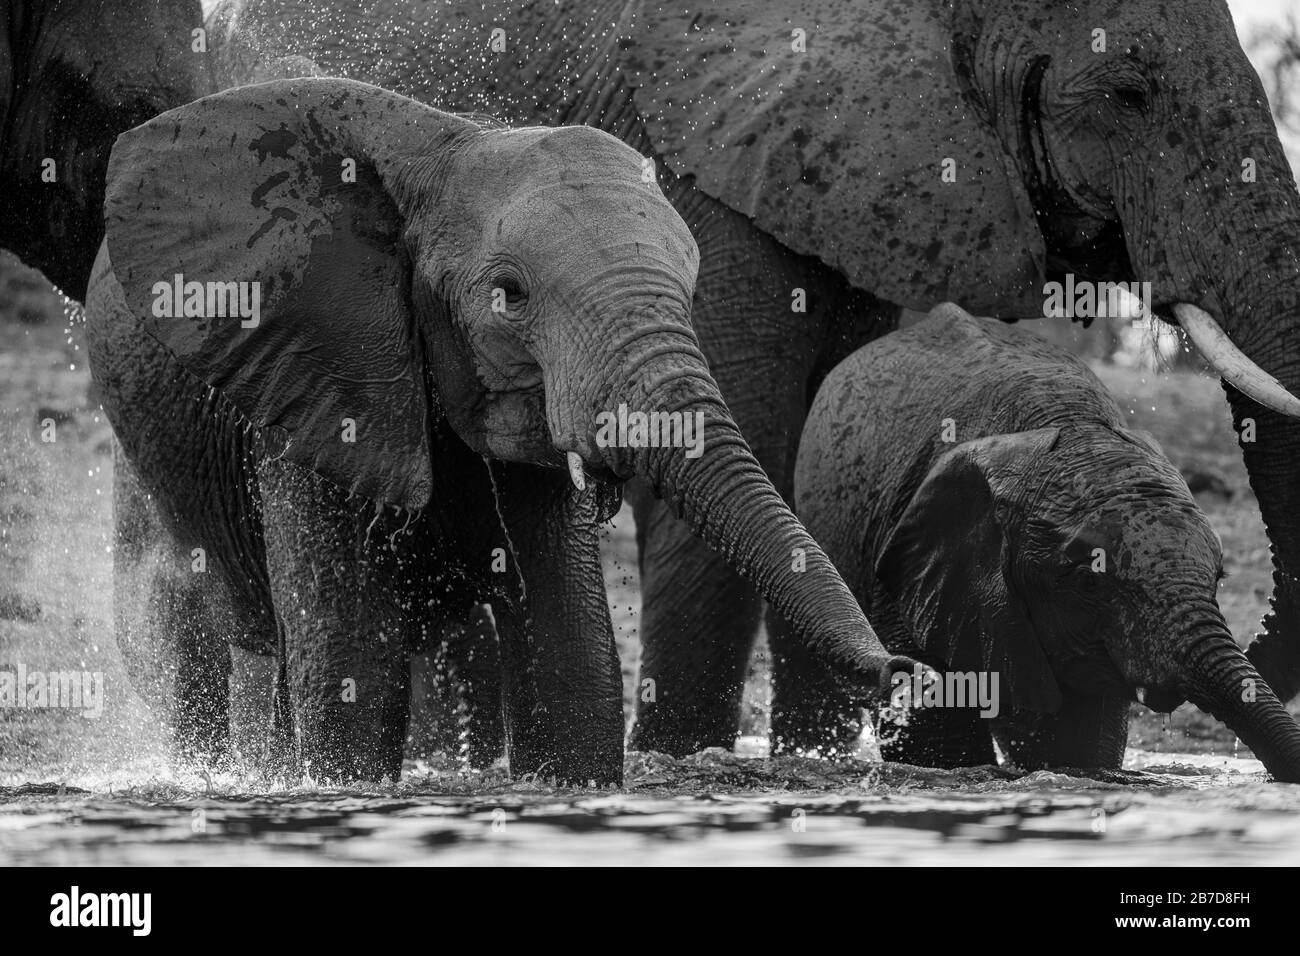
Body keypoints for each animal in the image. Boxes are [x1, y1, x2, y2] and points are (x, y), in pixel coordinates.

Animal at [84, 76, 915, 784]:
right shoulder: (312, 372)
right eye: (508, 295)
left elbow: (573, 656)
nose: (905, 674)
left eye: (691, 285)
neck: (456, 148)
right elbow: (350, 663)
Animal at [786, 304, 1300, 782]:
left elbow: (1076, 745)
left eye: (1218, 579)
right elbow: (937, 738)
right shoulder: (913, 575)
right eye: (1089, 581)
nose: (900, 675)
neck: (1070, 427)